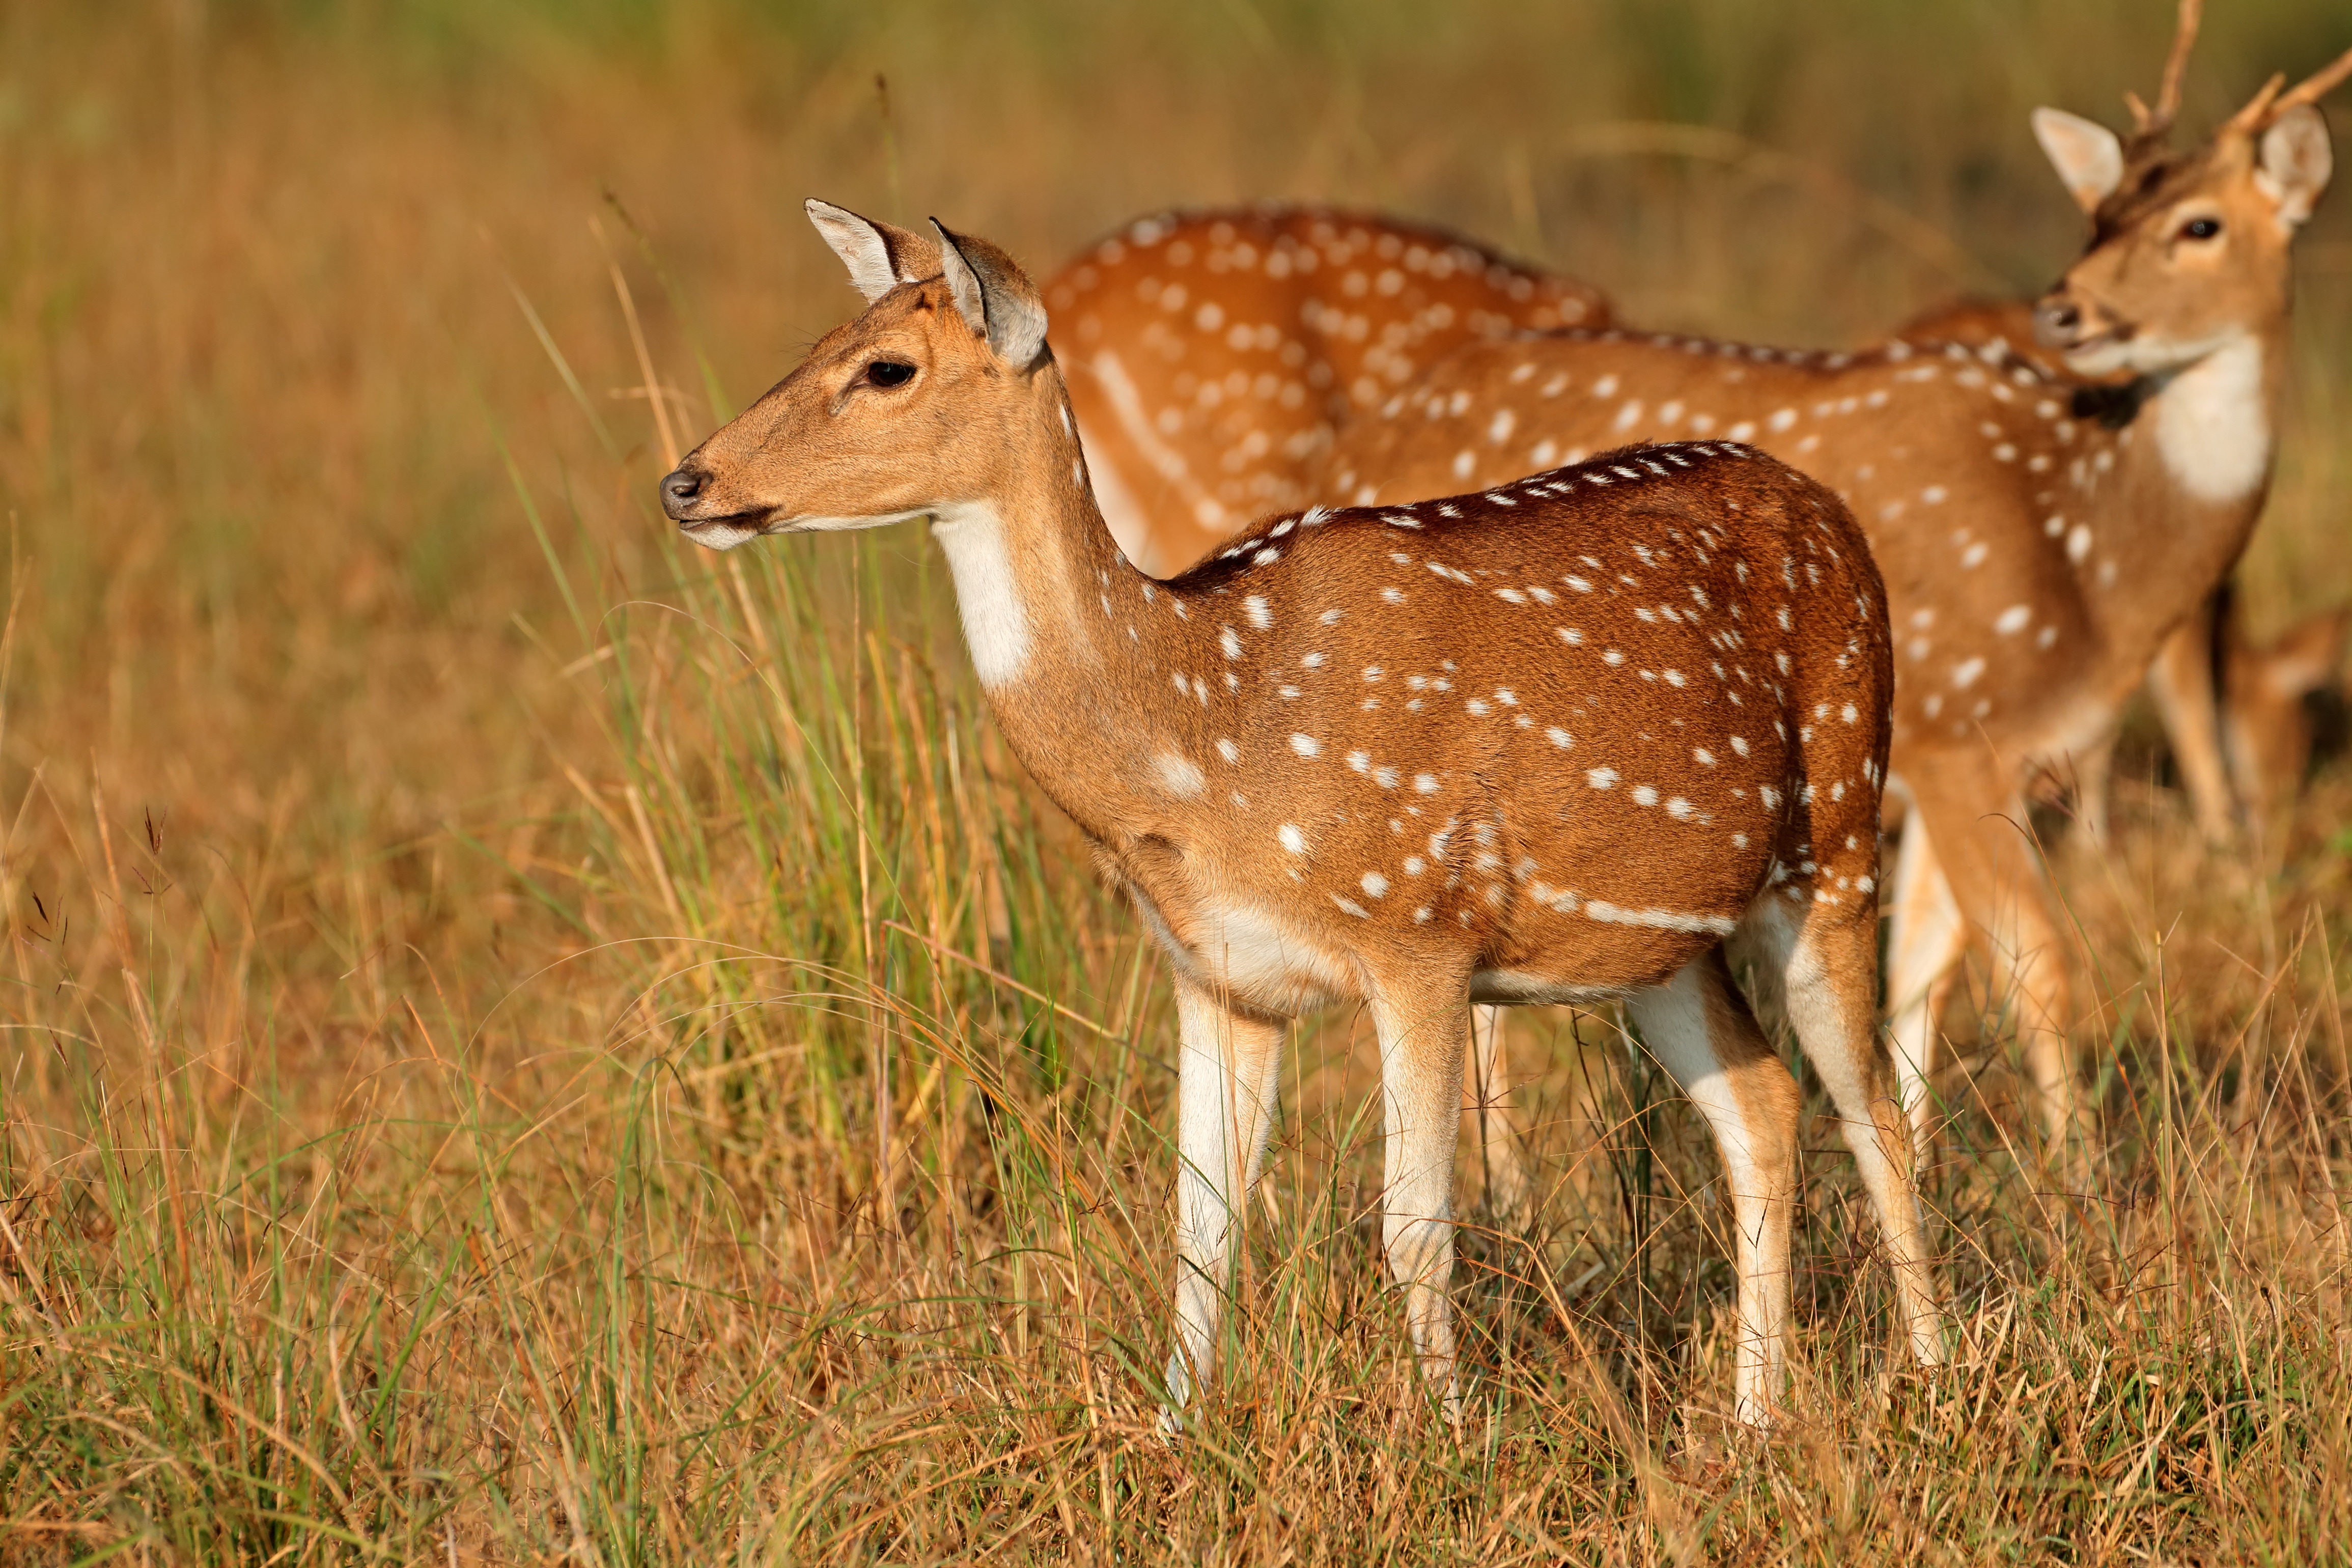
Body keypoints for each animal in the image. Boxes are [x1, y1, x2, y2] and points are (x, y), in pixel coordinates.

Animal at [656, 200, 1945, 1429]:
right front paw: (1175, 1439)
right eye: (819, 342)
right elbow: (1201, 1229)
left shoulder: (1420, 928)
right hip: (1652, 942)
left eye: (887, 369)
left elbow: (1416, 1224)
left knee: (1874, 1109)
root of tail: (1837, 516)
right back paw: (1755, 1415)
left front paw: (1451, 1442)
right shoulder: (1218, 973)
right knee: (1764, 1104)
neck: (1207, 739)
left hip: (1836, 835)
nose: (687, 481)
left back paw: (1931, 1381)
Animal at [1315, 12, 2350, 1154]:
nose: (2066, 311)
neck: (2091, 565)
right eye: (2099, 213)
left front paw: (1937, 1156)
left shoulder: (1968, 763)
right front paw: (2075, 1172)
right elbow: (2035, 962)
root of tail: (1349, 451)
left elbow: (1926, 971)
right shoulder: (1960, 732)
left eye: (2201, 225)